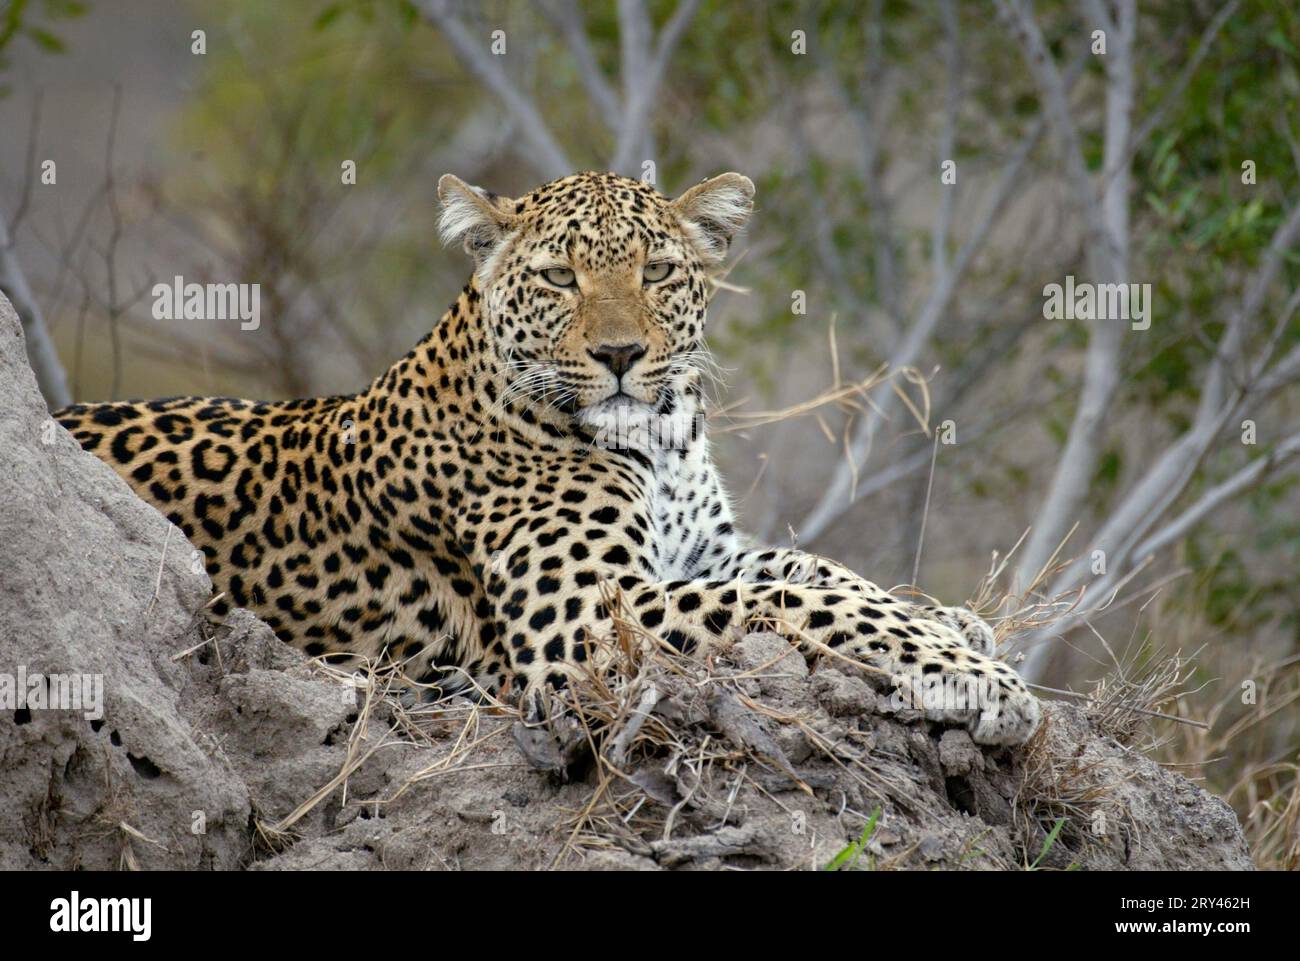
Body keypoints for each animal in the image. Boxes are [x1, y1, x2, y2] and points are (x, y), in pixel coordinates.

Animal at [55, 170, 1040, 746]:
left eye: (657, 271)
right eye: (560, 277)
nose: (620, 354)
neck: (658, 440)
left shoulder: (702, 550)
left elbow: (820, 569)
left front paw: (954, 619)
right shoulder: (584, 627)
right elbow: (793, 596)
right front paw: (979, 679)